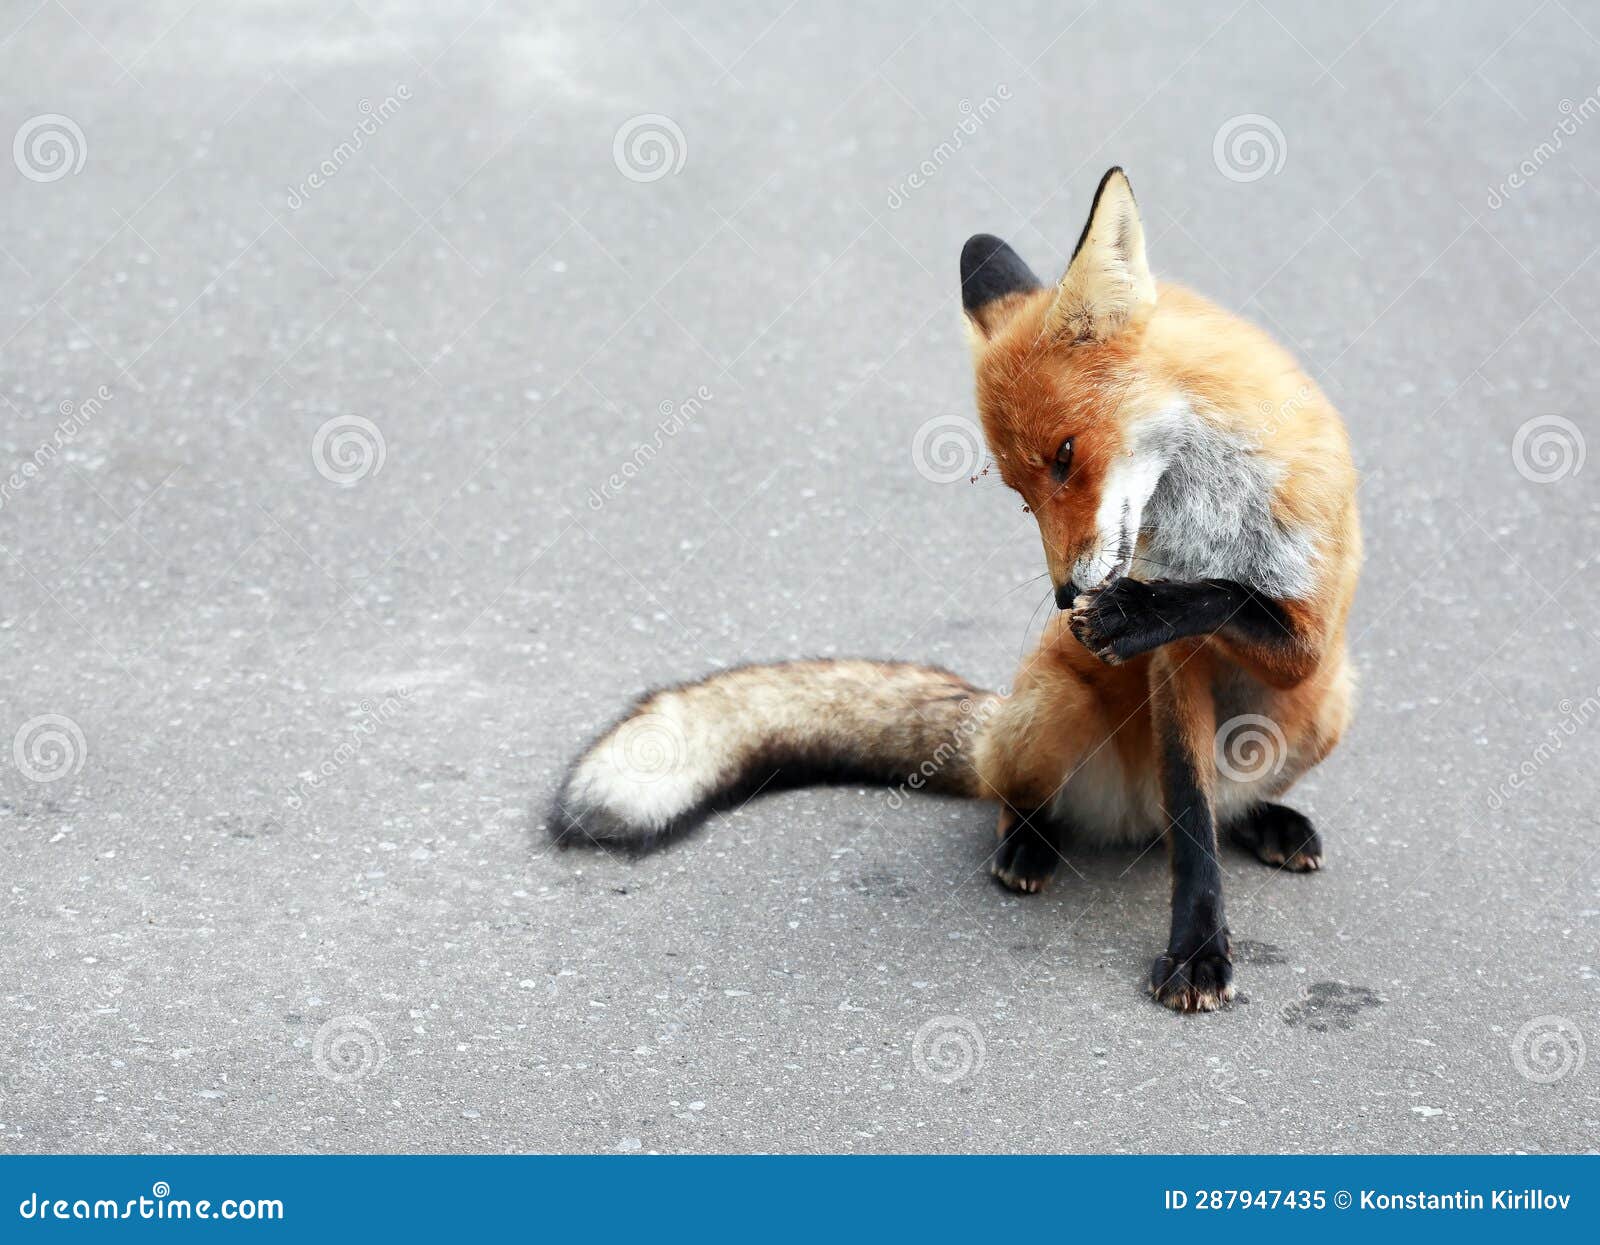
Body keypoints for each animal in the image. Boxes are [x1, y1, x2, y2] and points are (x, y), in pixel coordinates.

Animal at [553, 168, 1360, 1012]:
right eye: (1019, 493)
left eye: (1066, 453)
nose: (1066, 598)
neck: (1212, 512)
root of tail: (1136, 823)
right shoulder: (1176, 673)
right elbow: (1194, 821)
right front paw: (1198, 946)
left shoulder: (1312, 628)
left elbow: (1229, 599)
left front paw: (1145, 608)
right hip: (1057, 706)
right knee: (1046, 800)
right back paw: (1028, 843)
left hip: (1330, 705)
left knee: (1216, 804)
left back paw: (1269, 820)